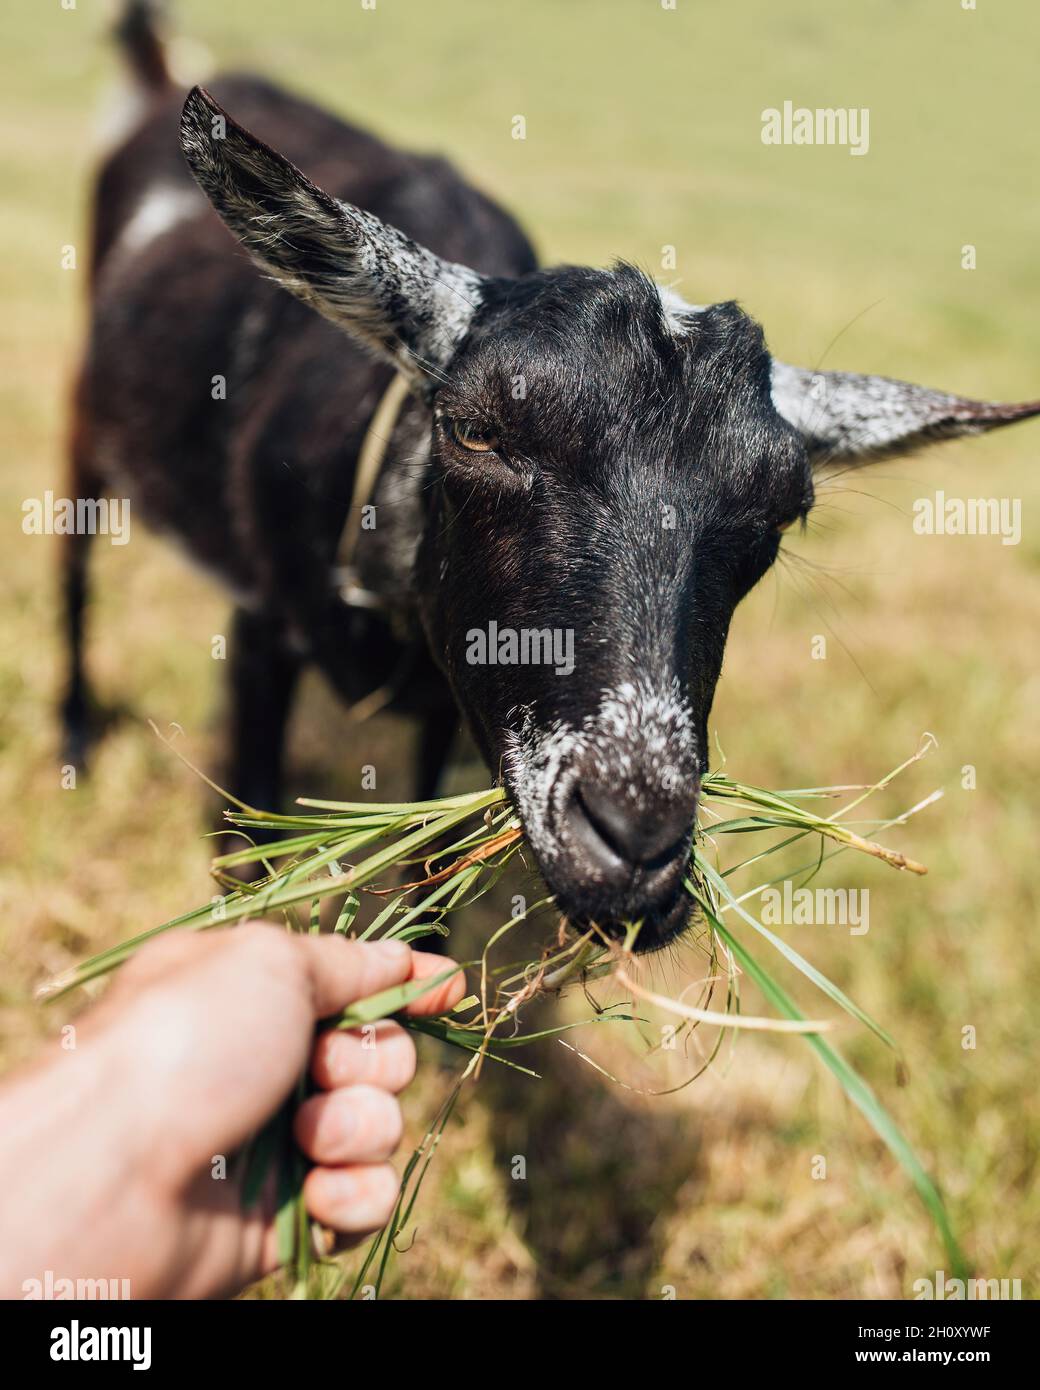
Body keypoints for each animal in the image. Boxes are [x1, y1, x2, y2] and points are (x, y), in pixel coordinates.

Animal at [66, 3, 1039, 951]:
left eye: (783, 512)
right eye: (474, 430)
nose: (634, 844)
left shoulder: (454, 700)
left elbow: (430, 892)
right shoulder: (262, 625)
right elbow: (250, 845)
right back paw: (73, 735)